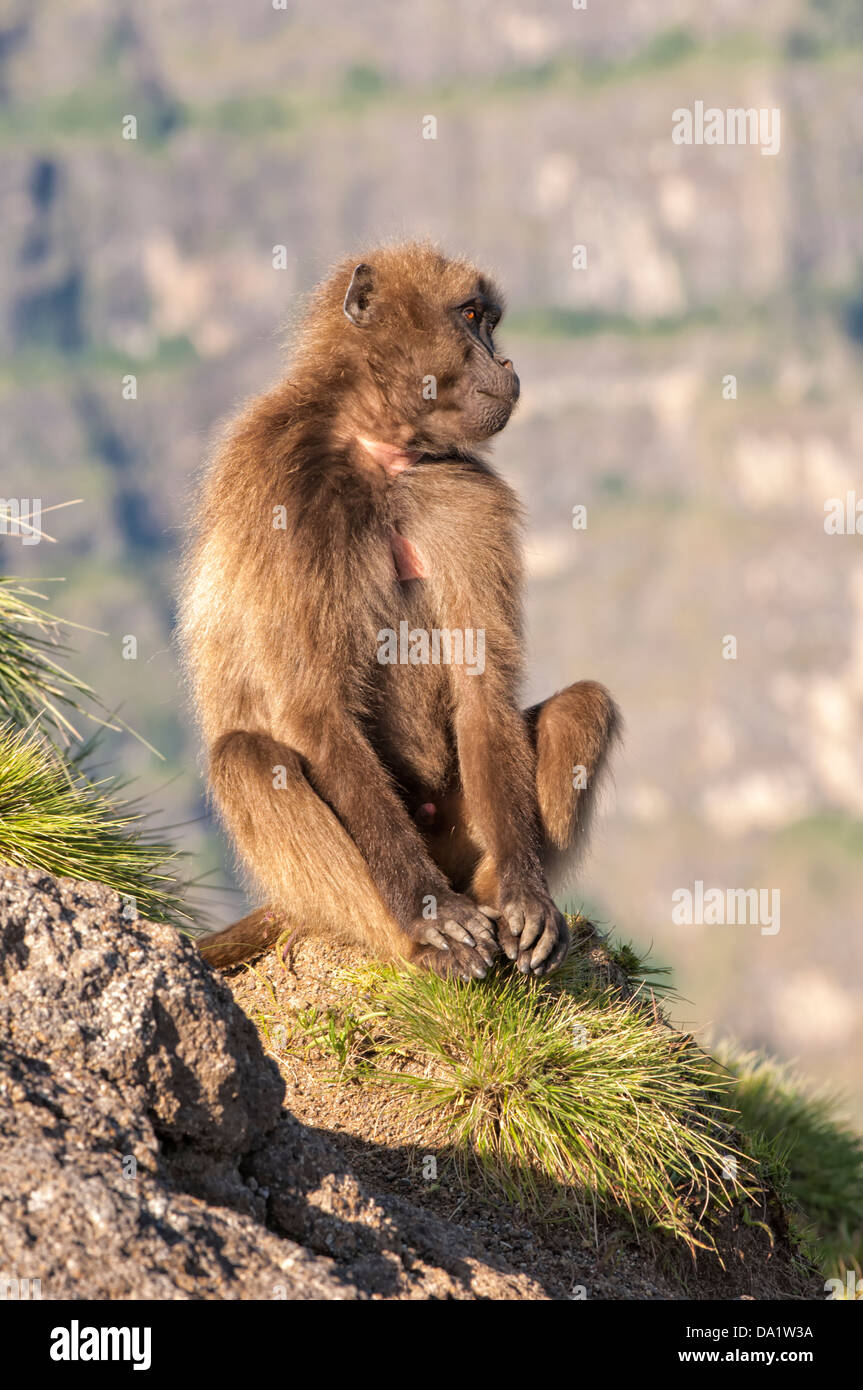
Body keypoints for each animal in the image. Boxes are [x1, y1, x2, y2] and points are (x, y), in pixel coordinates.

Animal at [179, 242, 621, 982]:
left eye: (489, 321)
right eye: (470, 317)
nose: (505, 365)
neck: (378, 448)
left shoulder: (464, 495)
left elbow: (482, 692)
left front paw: (527, 901)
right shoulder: (279, 485)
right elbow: (315, 710)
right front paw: (428, 920)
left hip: (460, 829)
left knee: (583, 706)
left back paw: (500, 900)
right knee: (247, 757)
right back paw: (415, 942)